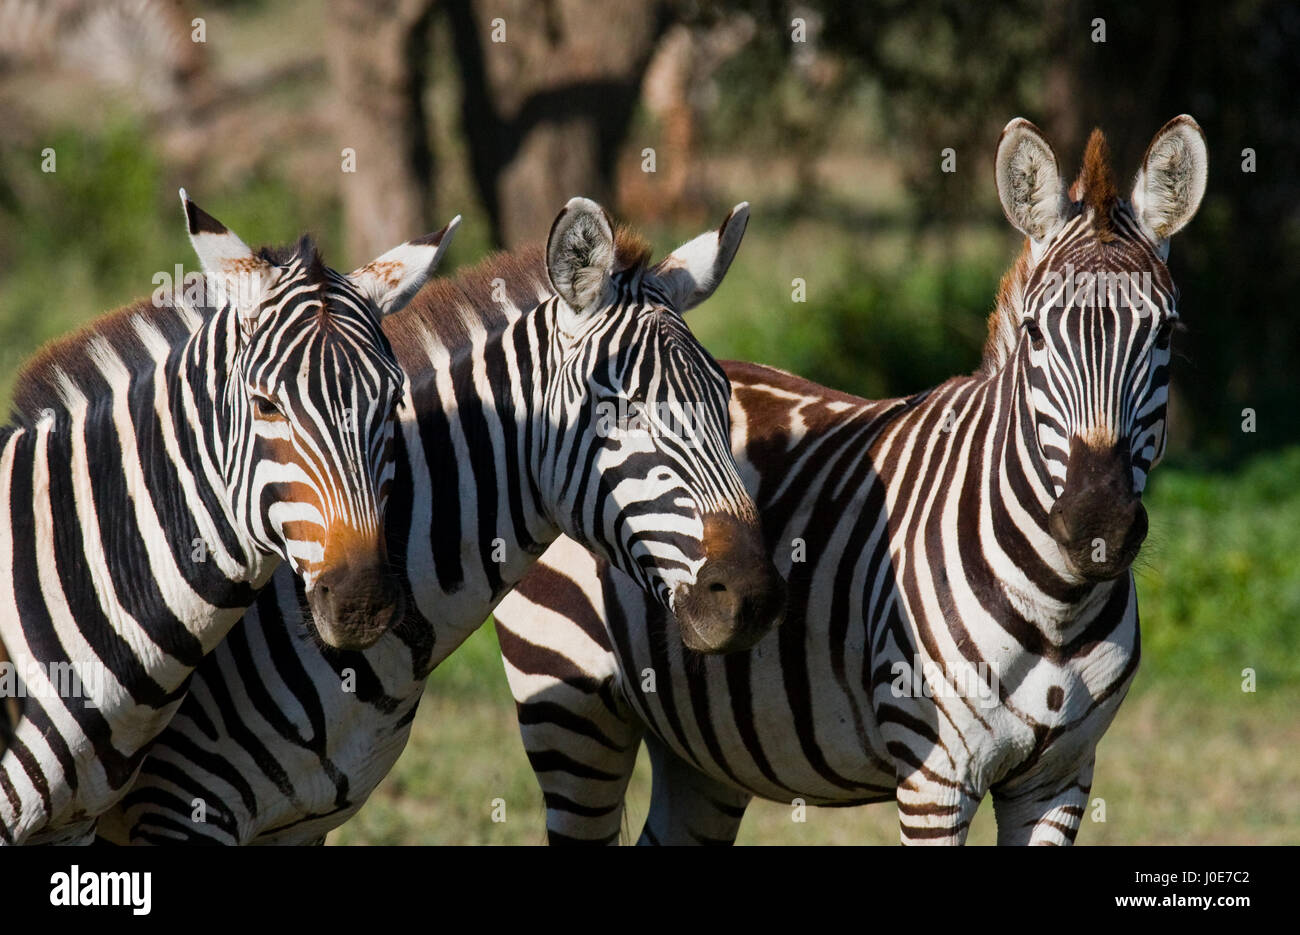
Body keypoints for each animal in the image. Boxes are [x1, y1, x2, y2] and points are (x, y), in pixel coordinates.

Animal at [491, 116, 1209, 844]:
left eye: (1166, 334)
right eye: (1036, 334)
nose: (1098, 525)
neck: (1059, 608)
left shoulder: (1061, 780)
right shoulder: (935, 779)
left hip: (702, 750)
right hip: (570, 705)